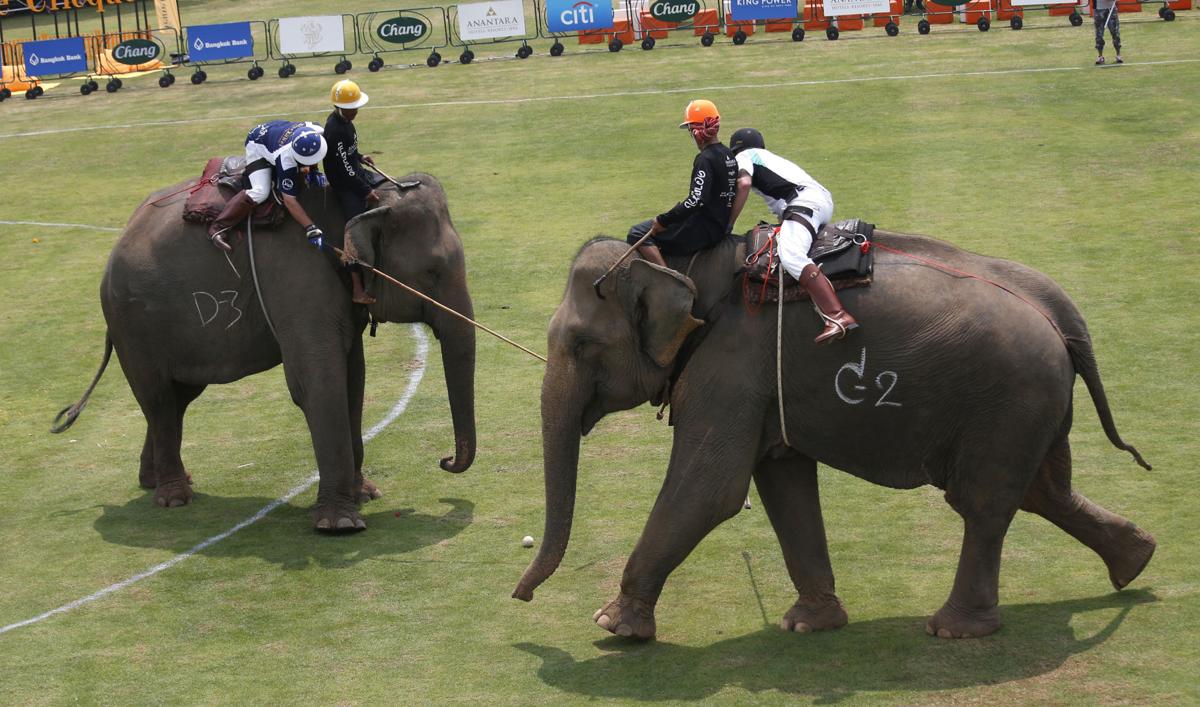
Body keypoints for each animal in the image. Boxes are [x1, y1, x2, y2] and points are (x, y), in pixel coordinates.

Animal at [53, 172, 475, 531]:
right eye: (433, 272)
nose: (444, 460)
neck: (355, 199)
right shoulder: (297, 279)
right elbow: (317, 384)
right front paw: (341, 524)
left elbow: (353, 380)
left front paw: (366, 494)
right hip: (134, 324)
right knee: (156, 397)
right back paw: (174, 497)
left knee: (178, 397)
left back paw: (156, 480)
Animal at [513, 230, 1155, 640]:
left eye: (581, 344)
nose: (519, 598)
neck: (682, 262)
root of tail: (1060, 312)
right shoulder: (760, 381)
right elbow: (782, 479)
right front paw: (809, 624)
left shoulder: (730, 365)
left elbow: (709, 489)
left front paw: (613, 627)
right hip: (1032, 406)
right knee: (1044, 490)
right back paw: (1136, 563)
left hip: (1008, 400)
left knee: (984, 503)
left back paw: (954, 630)